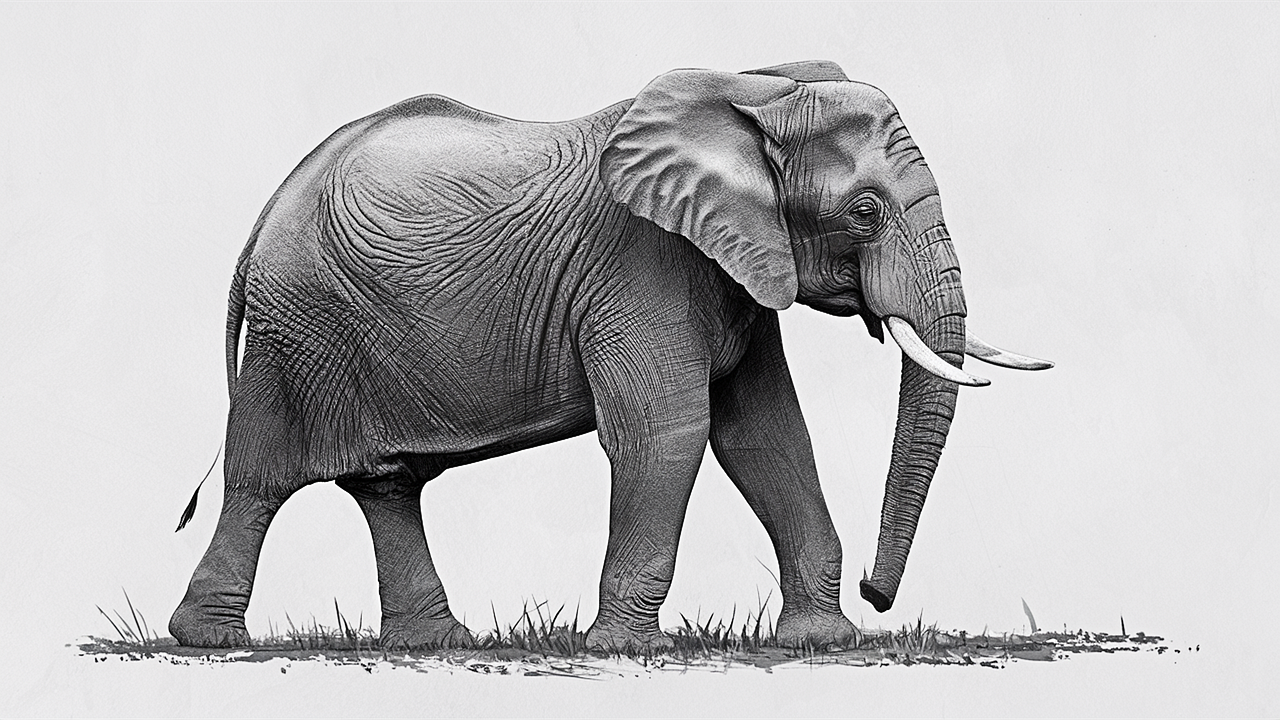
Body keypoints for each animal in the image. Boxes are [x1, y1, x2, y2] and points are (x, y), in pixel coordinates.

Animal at [169, 60, 1051, 652]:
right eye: (865, 212)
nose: (878, 595)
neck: (755, 90)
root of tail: (267, 211)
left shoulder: (732, 262)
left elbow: (766, 434)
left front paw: (821, 642)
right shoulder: (640, 264)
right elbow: (668, 430)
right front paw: (633, 652)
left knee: (386, 484)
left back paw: (435, 643)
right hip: (297, 328)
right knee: (259, 477)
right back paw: (211, 641)